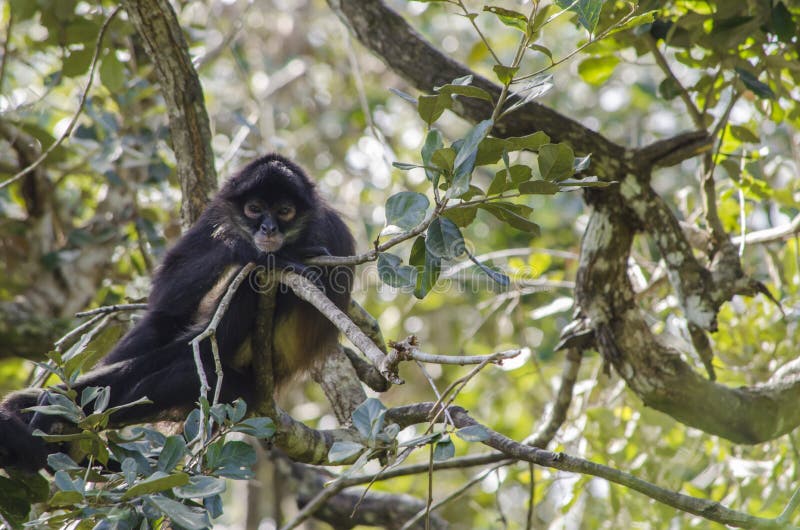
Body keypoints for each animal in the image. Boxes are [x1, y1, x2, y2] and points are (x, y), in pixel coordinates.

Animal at [0, 154, 355, 470]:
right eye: (254, 209)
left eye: (284, 211)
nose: (268, 229)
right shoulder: (216, 216)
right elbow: (167, 298)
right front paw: (248, 249)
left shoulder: (320, 234)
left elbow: (203, 341)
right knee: (163, 326)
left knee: (187, 362)